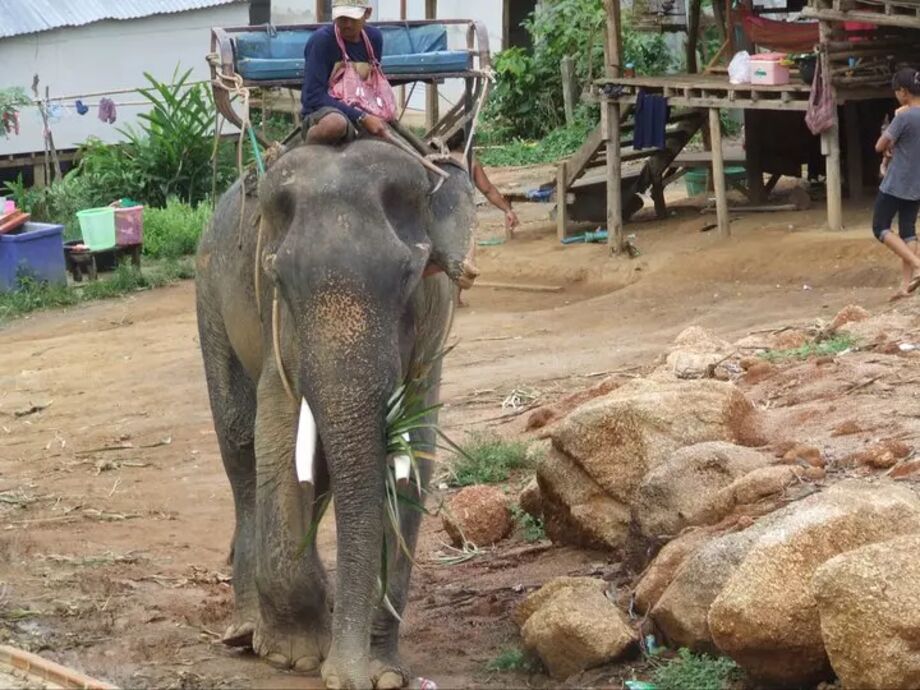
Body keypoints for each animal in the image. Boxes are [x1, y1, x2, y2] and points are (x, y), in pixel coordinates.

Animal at [195, 138, 477, 689]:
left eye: (410, 275)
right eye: (278, 277)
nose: (344, 679)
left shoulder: (432, 337)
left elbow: (414, 458)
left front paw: (382, 674)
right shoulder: (278, 333)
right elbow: (276, 435)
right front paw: (297, 657)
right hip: (207, 293)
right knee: (240, 446)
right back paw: (247, 632)